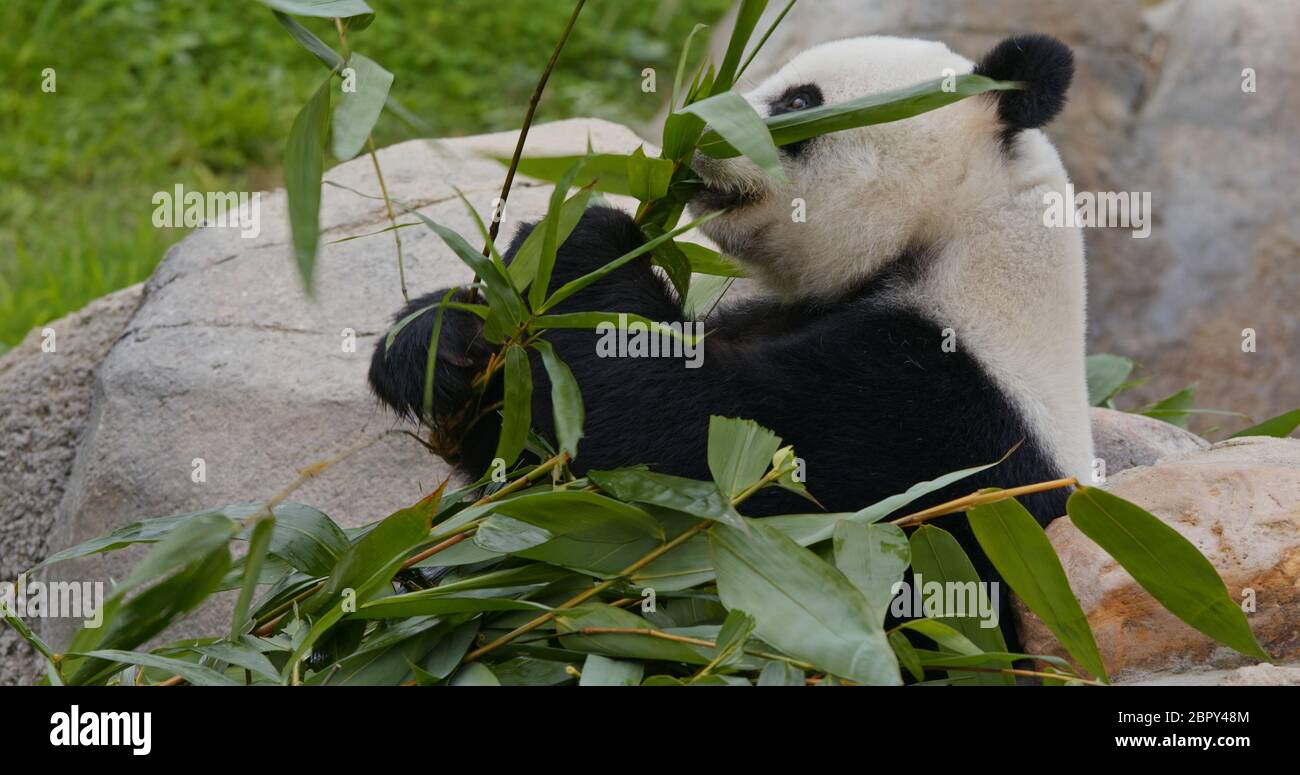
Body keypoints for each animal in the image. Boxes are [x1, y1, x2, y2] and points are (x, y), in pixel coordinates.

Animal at [370, 34, 1090, 643]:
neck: (956, 238)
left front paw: (585, 238)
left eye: (798, 101)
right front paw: (439, 342)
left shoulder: (935, 422)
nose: (693, 127)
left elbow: (693, 453)